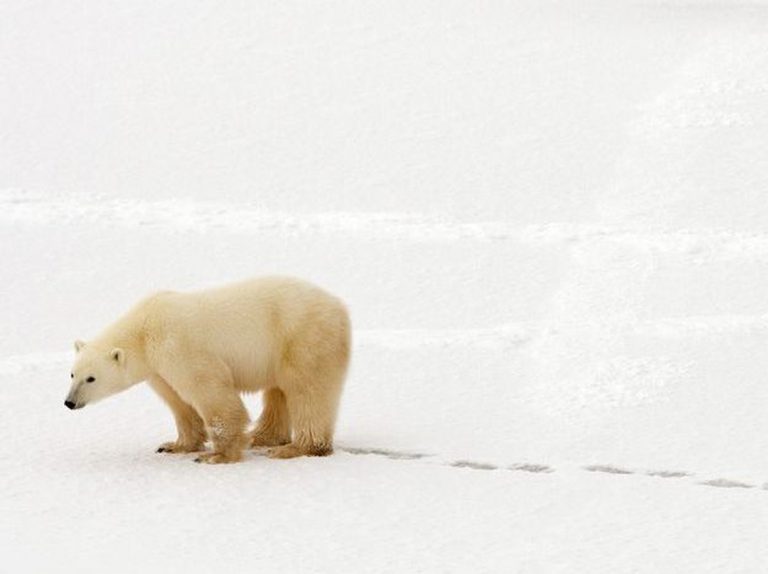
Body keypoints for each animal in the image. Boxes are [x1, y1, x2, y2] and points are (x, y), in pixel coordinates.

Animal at [65, 276, 351, 464]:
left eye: (91, 378)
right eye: (72, 374)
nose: (69, 402)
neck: (144, 329)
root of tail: (339, 306)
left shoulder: (178, 345)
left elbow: (209, 390)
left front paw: (217, 455)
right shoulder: (158, 368)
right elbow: (177, 400)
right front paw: (174, 445)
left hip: (302, 337)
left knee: (307, 391)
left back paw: (296, 448)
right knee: (279, 393)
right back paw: (262, 437)